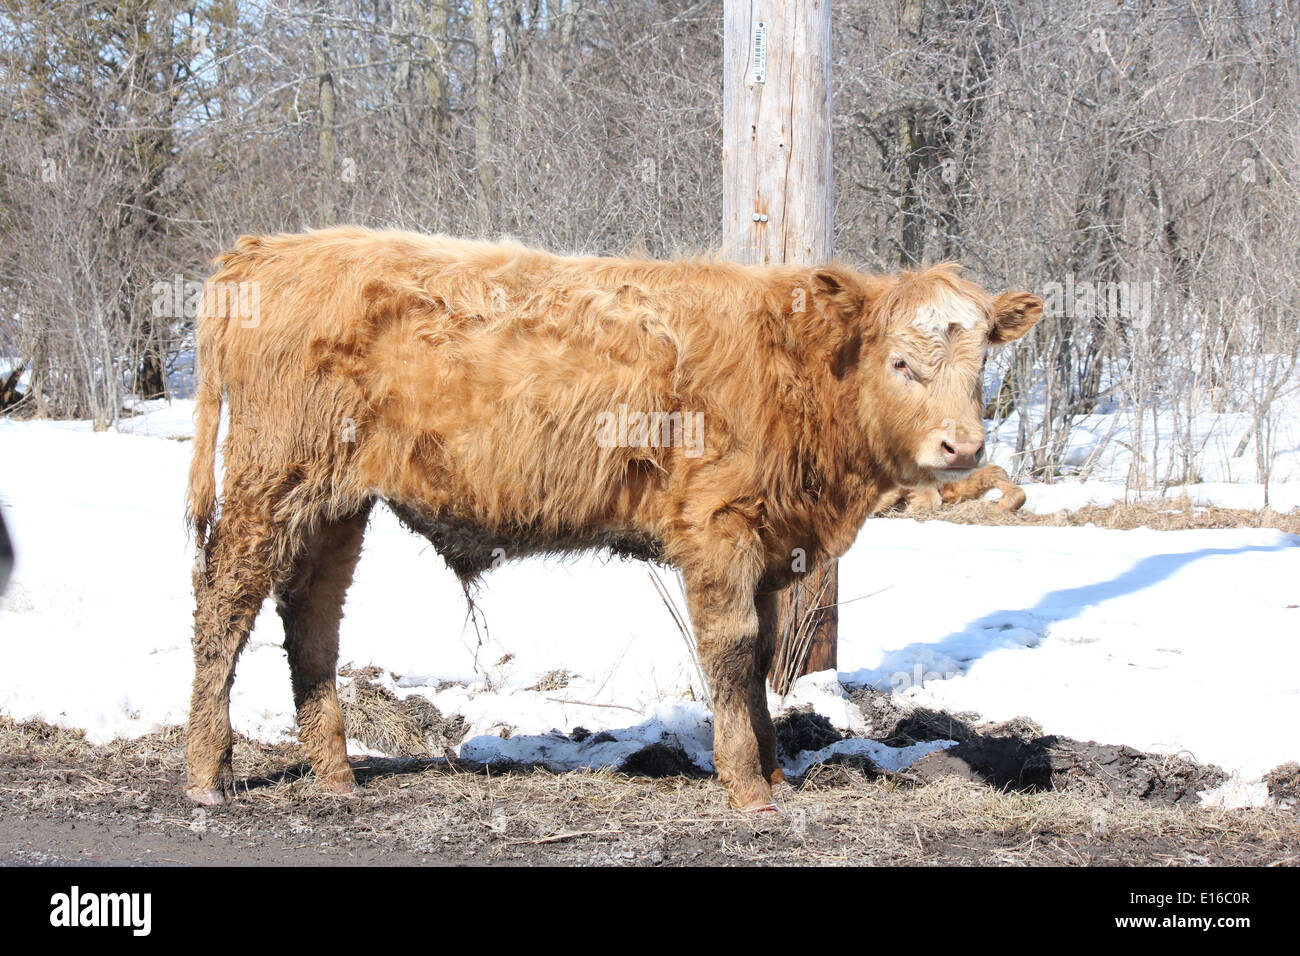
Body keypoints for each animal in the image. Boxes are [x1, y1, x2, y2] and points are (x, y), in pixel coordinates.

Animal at [184, 227, 1042, 811]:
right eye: (902, 362)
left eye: (981, 366)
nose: (964, 446)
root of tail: (268, 251)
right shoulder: (720, 528)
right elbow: (731, 652)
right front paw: (748, 788)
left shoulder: (770, 545)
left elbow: (763, 658)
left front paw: (770, 768)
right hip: (270, 481)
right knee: (225, 604)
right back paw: (206, 774)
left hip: (336, 503)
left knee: (312, 616)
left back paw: (333, 772)